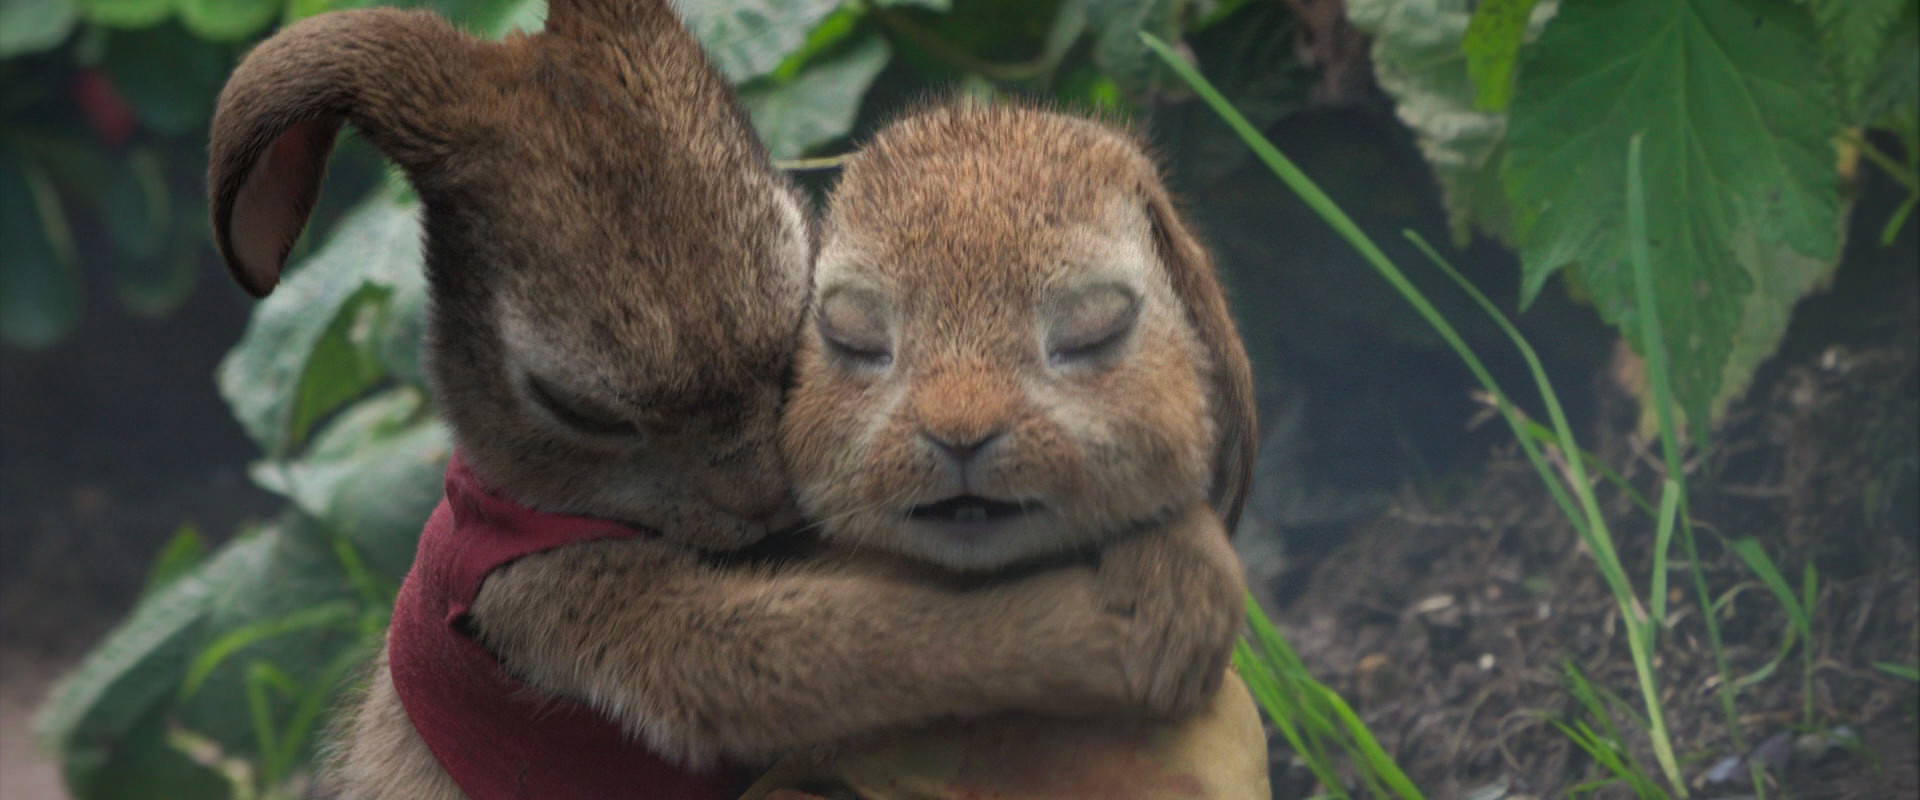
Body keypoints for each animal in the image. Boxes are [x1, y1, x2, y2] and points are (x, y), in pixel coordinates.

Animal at [208, 4, 1213, 798]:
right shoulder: (544, 595)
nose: (760, 502)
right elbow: (826, 648)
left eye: (798, 300)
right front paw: (1123, 628)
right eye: (576, 409)